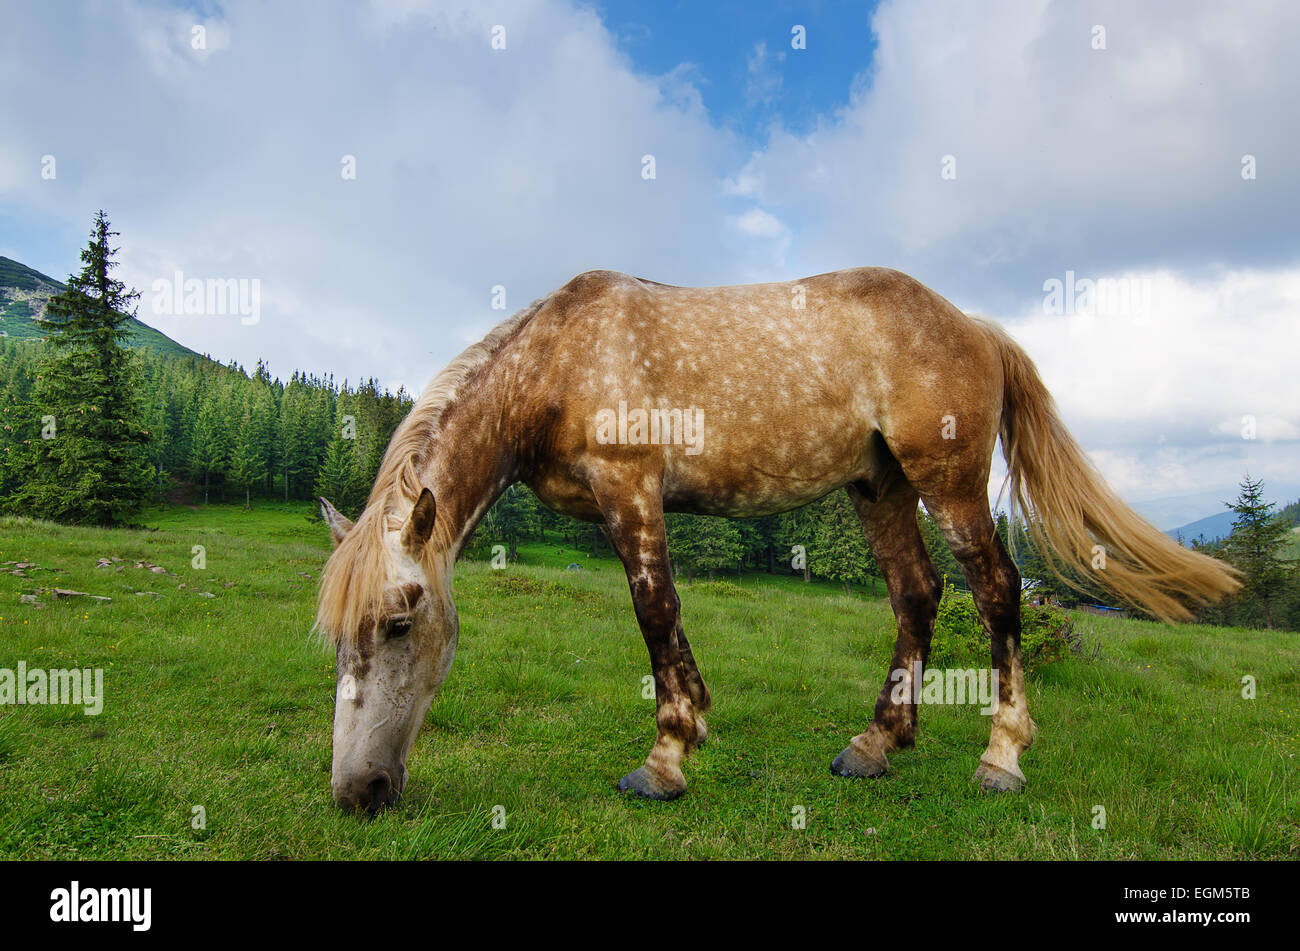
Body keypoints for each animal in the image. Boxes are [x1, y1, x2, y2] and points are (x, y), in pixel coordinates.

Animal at [315, 267, 1240, 812]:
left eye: (399, 623)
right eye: (336, 640)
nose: (358, 790)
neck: (560, 361)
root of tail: (975, 325)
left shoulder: (631, 490)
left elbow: (655, 611)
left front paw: (665, 756)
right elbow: (670, 624)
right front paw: (695, 722)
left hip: (947, 484)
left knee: (996, 590)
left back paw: (1002, 754)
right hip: (880, 486)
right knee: (918, 594)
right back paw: (876, 742)